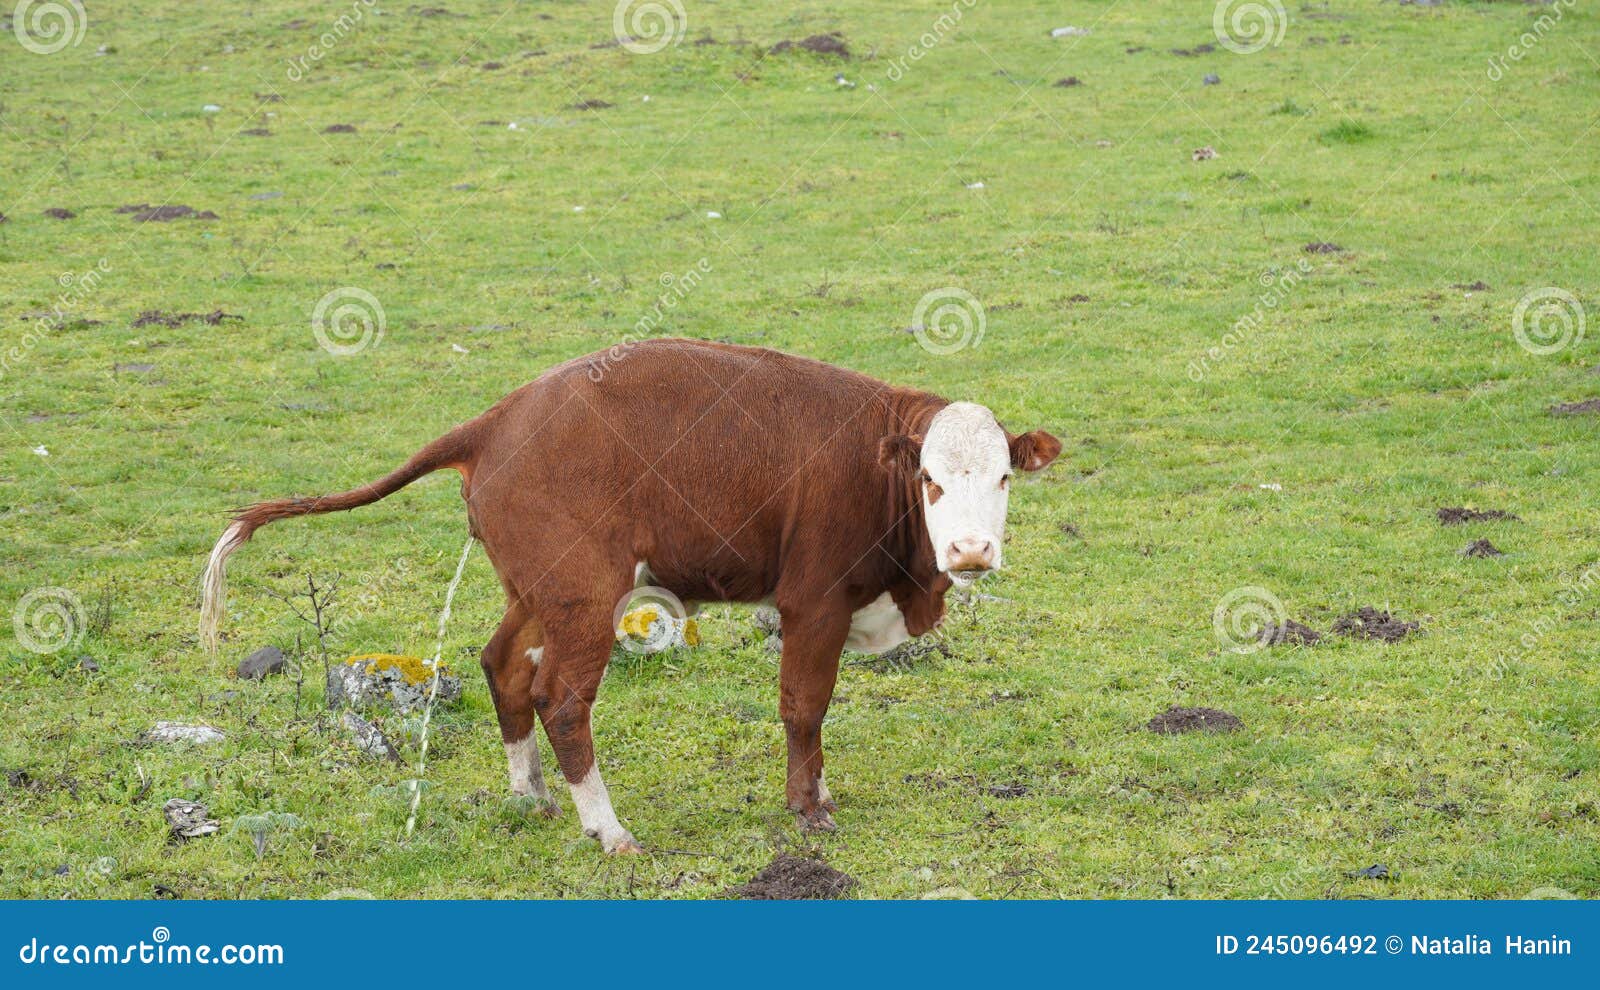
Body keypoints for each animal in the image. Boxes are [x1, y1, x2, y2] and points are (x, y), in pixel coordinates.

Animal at [200, 338, 1060, 853]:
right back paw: (607, 829)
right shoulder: (812, 603)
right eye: (931, 479)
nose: (971, 550)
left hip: (542, 592)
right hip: (585, 601)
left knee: (502, 666)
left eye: (1004, 477)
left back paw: (531, 798)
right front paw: (808, 807)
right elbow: (803, 707)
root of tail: (496, 421)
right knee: (559, 698)